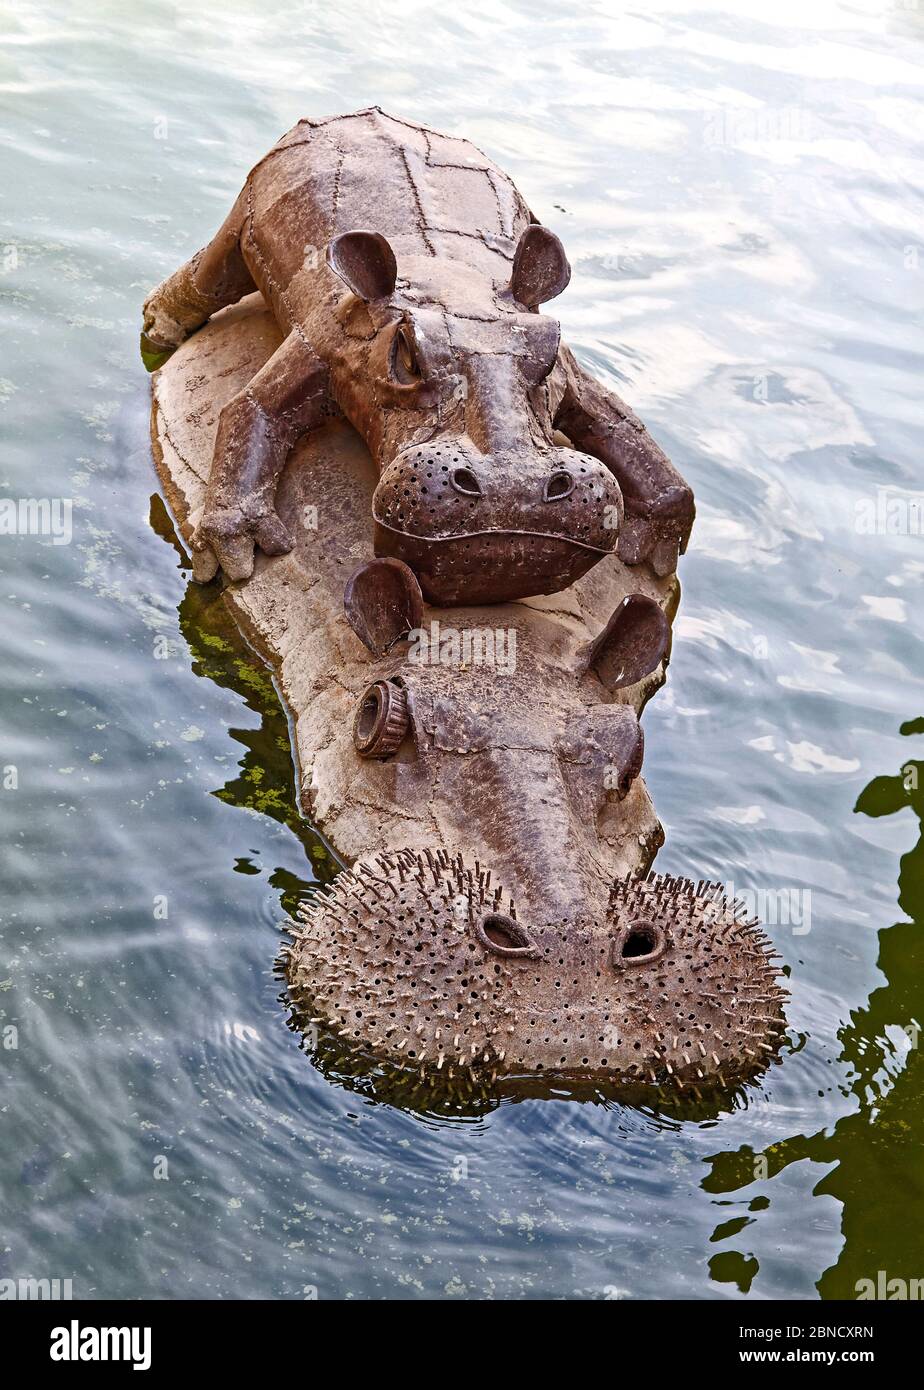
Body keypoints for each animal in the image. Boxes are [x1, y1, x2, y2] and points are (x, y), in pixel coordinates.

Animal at [142, 106, 694, 605]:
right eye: (406, 353)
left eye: (549, 351)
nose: (513, 488)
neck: (453, 286)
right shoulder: (325, 337)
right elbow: (251, 408)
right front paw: (240, 547)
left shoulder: (575, 375)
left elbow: (619, 421)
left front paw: (655, 547)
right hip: (248, 205)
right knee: (211, 272)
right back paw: (159, 328)